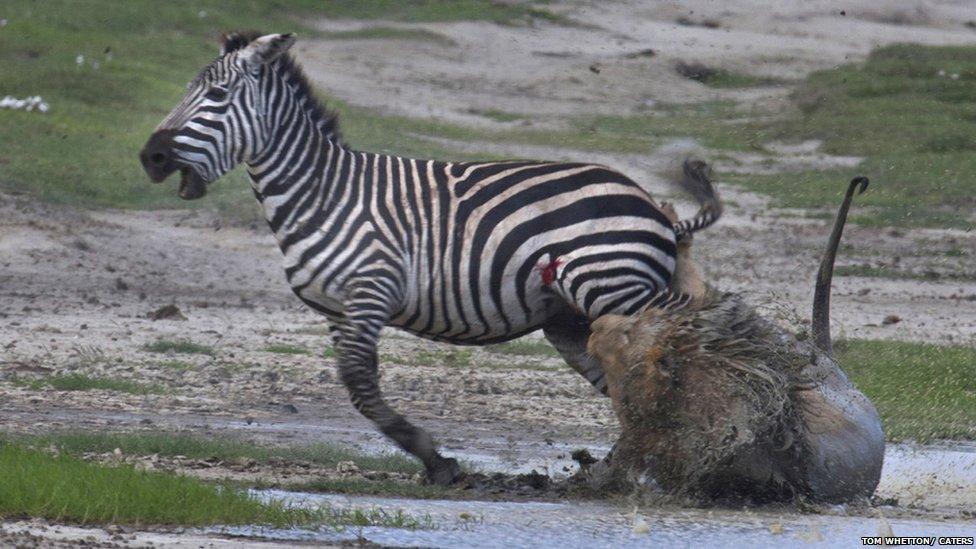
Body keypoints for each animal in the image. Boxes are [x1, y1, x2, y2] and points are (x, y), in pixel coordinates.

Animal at [140, 31, 722, 485]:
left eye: (216, 94)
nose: (152, 157)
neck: (322, 193)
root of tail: (648, 202)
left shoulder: (370, 290)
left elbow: (361, 384)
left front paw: (436, 460)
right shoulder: (337, 310)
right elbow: (359, 391)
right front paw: (433, 459)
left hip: (612, 289)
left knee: (655, 372)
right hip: (572, 318)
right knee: (625, 383)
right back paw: (628, 466)